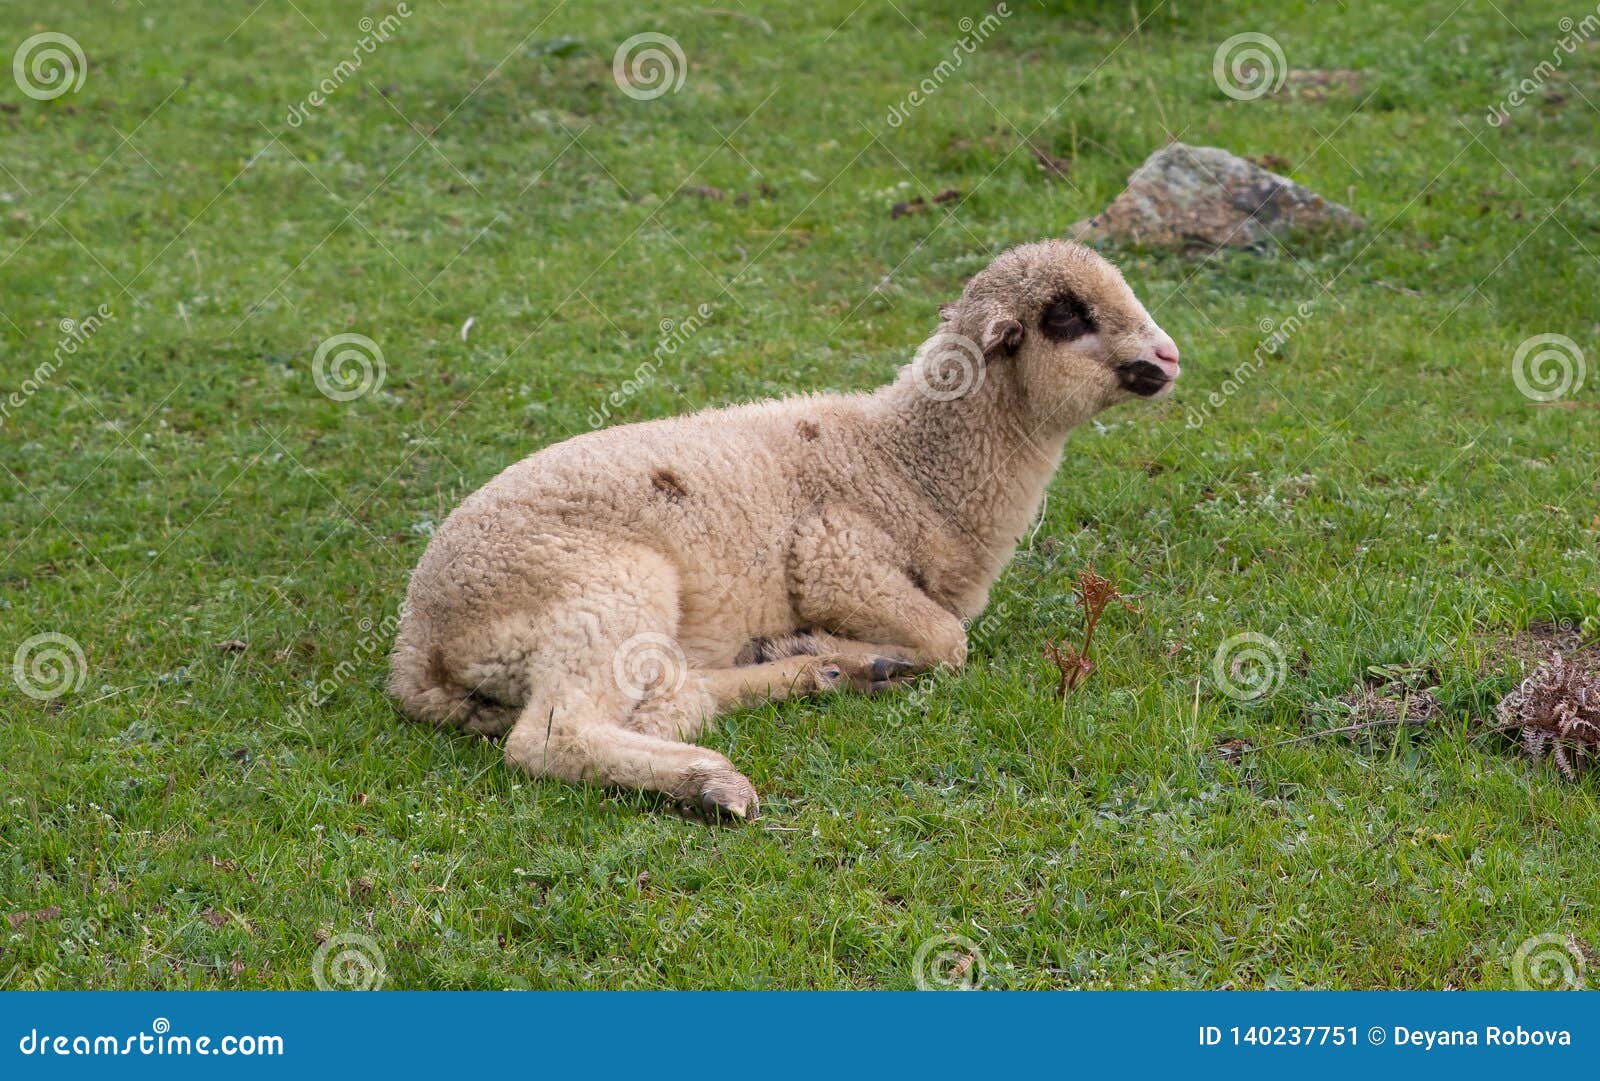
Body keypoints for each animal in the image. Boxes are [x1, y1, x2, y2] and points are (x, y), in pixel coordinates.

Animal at [388, 238, 1180, 819]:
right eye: (1066, 315)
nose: (1169, 356)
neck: (909, 460)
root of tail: (416, 647)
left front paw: (831, 652)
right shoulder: (834, 554)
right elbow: (949, 641)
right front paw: (866, 647)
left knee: (670, 698)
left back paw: (820, 670)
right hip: (603, 588)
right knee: (552, 737)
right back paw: (715, 777)